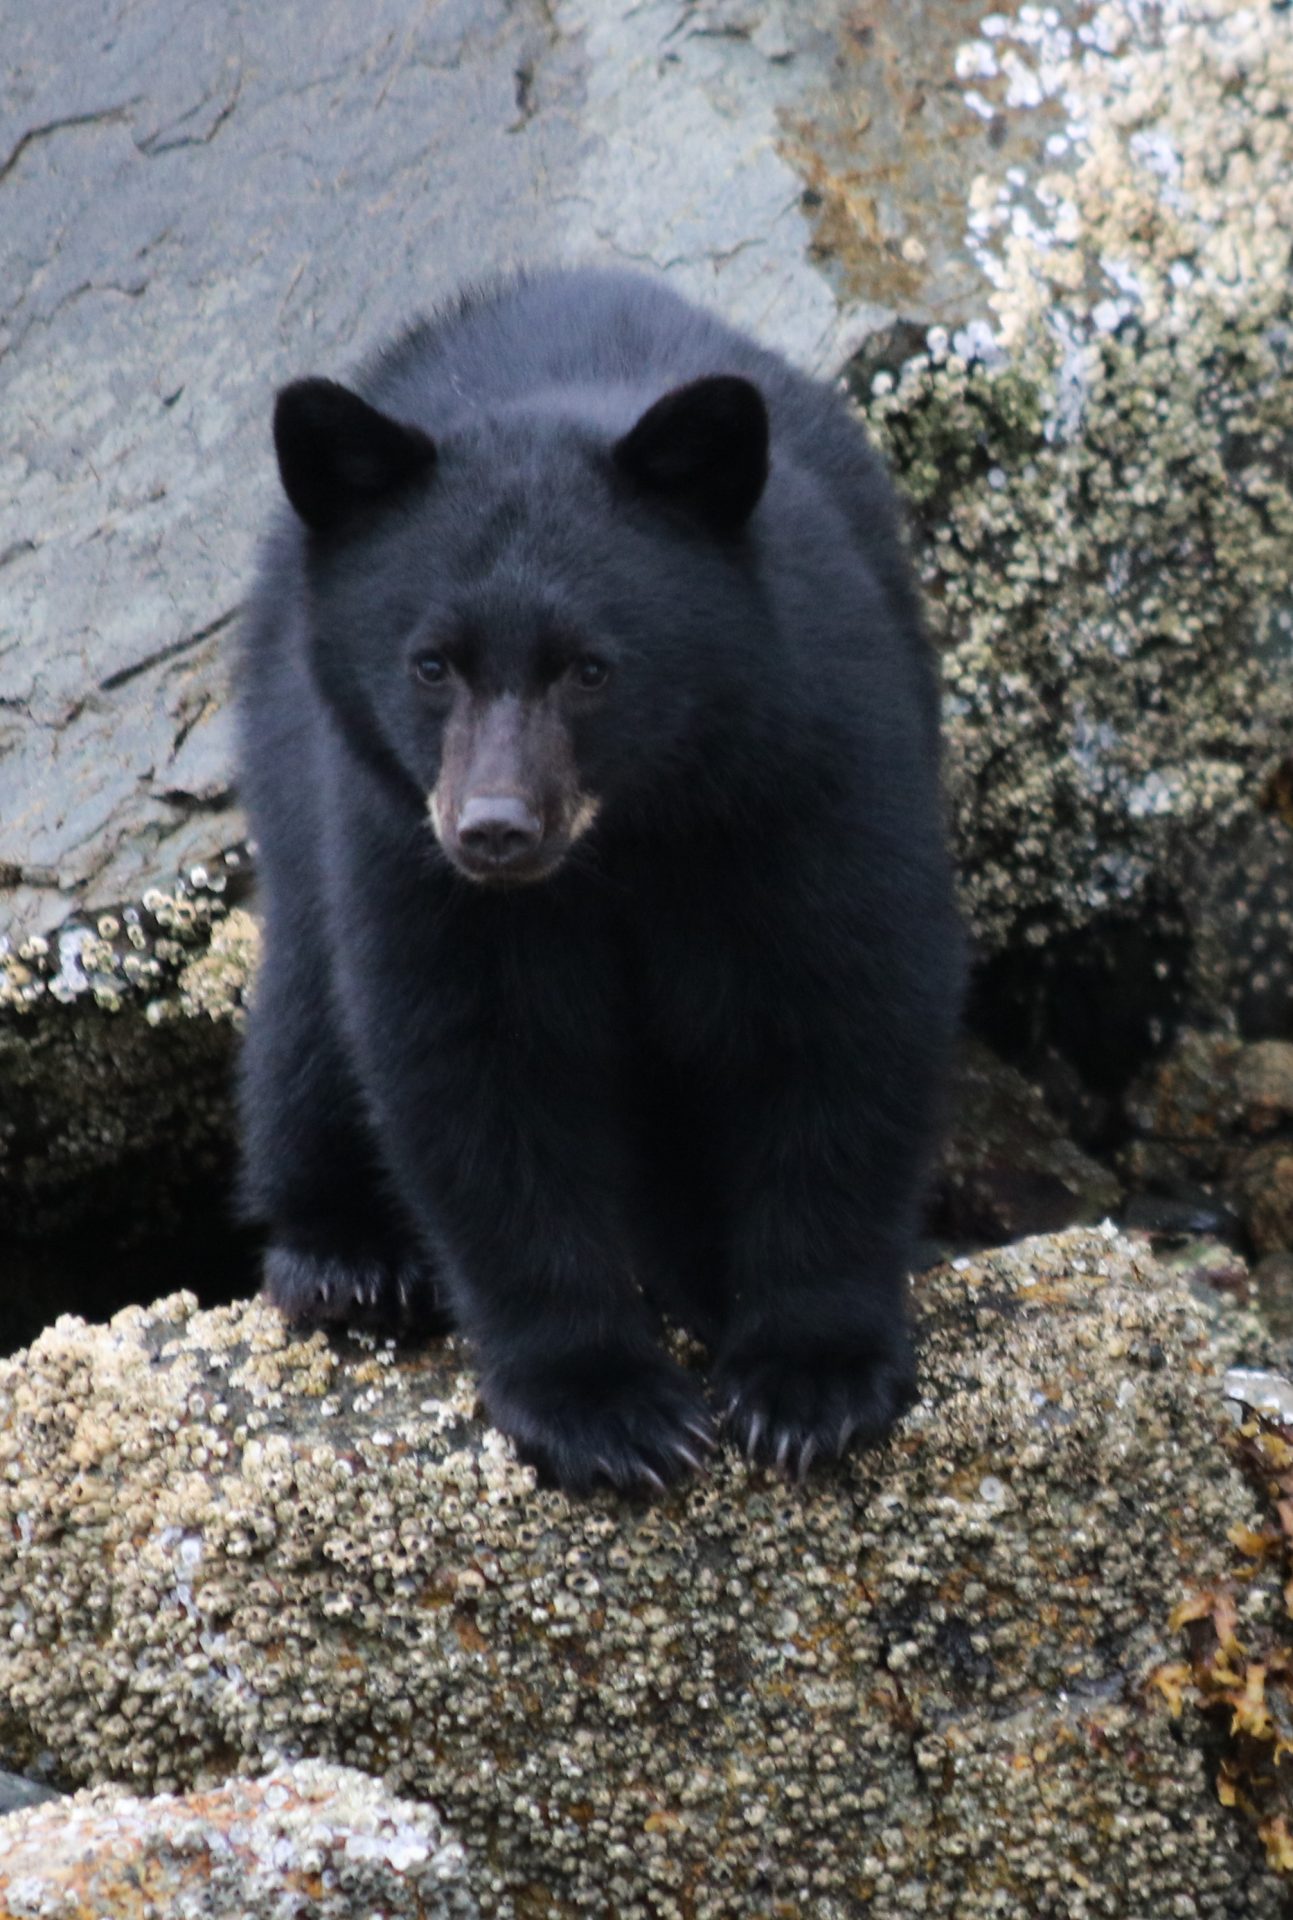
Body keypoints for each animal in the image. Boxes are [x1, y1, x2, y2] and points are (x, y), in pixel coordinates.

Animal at [236, 266, 963, 1498]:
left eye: (589, 668)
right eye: (430, 664)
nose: (493, 829)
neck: (624, 845)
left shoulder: (810, 777)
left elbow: (841, 1024)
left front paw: (810, 1381)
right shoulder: (405, 852)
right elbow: (479, 1075)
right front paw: (605, 1408)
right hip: (294, 780)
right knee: (304, 1010)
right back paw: (346, 1258)